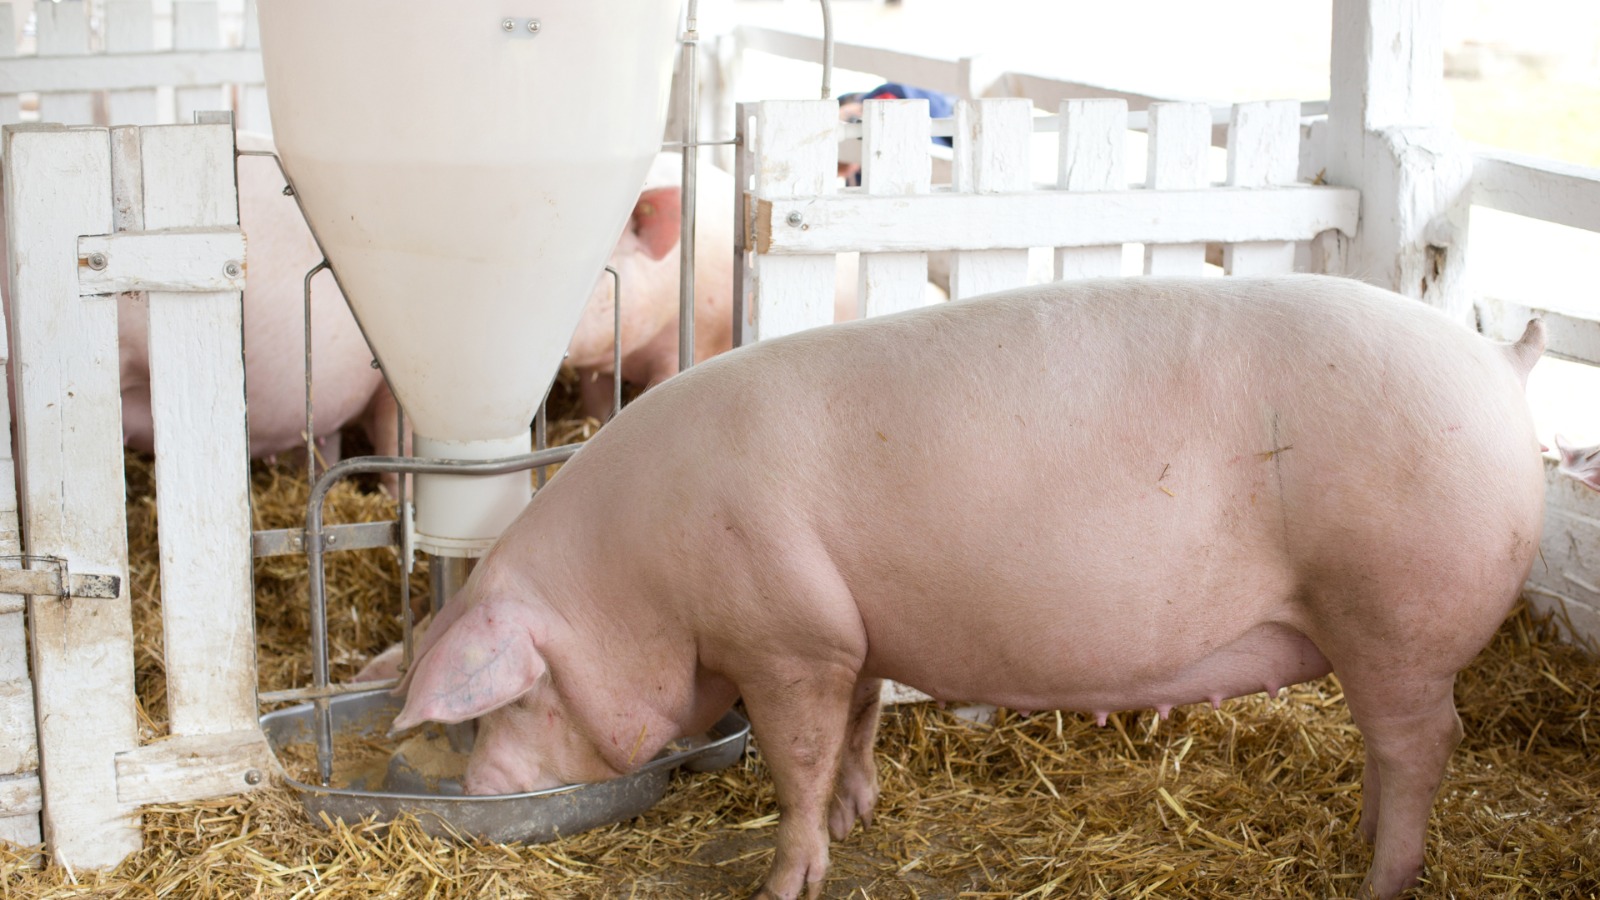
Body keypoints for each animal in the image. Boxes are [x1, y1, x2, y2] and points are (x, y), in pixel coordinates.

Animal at [391, 275, 1546, 900]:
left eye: (518, 700)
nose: (480, 793)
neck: (644, 570)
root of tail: (1500, 362)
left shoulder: (787, 638)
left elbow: (796, 762)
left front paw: (787, 876)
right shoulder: (850, 628)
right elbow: (859, 724)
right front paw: (860, 815)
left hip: (1396, 609)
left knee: (1423, 742)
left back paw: (1378, 877)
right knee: (1390, 749)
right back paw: (1356, 843)